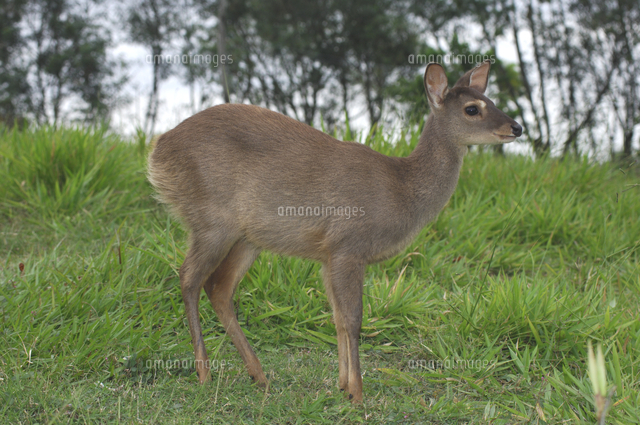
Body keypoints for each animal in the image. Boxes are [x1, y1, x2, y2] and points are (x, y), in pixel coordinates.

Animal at [147, 60, 522, 403]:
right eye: (472, 109)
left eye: (490, 98)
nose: (517, 127)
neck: (403, 189)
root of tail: (157, 150)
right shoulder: (348, 245)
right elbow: (354, 318)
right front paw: (357, 393)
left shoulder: (328, 255)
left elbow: (339, 318)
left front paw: (342, 385)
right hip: (212, 219)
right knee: (189, 277)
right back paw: (205, 372)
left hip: (247, 237)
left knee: (219, 288)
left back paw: (259, 375)